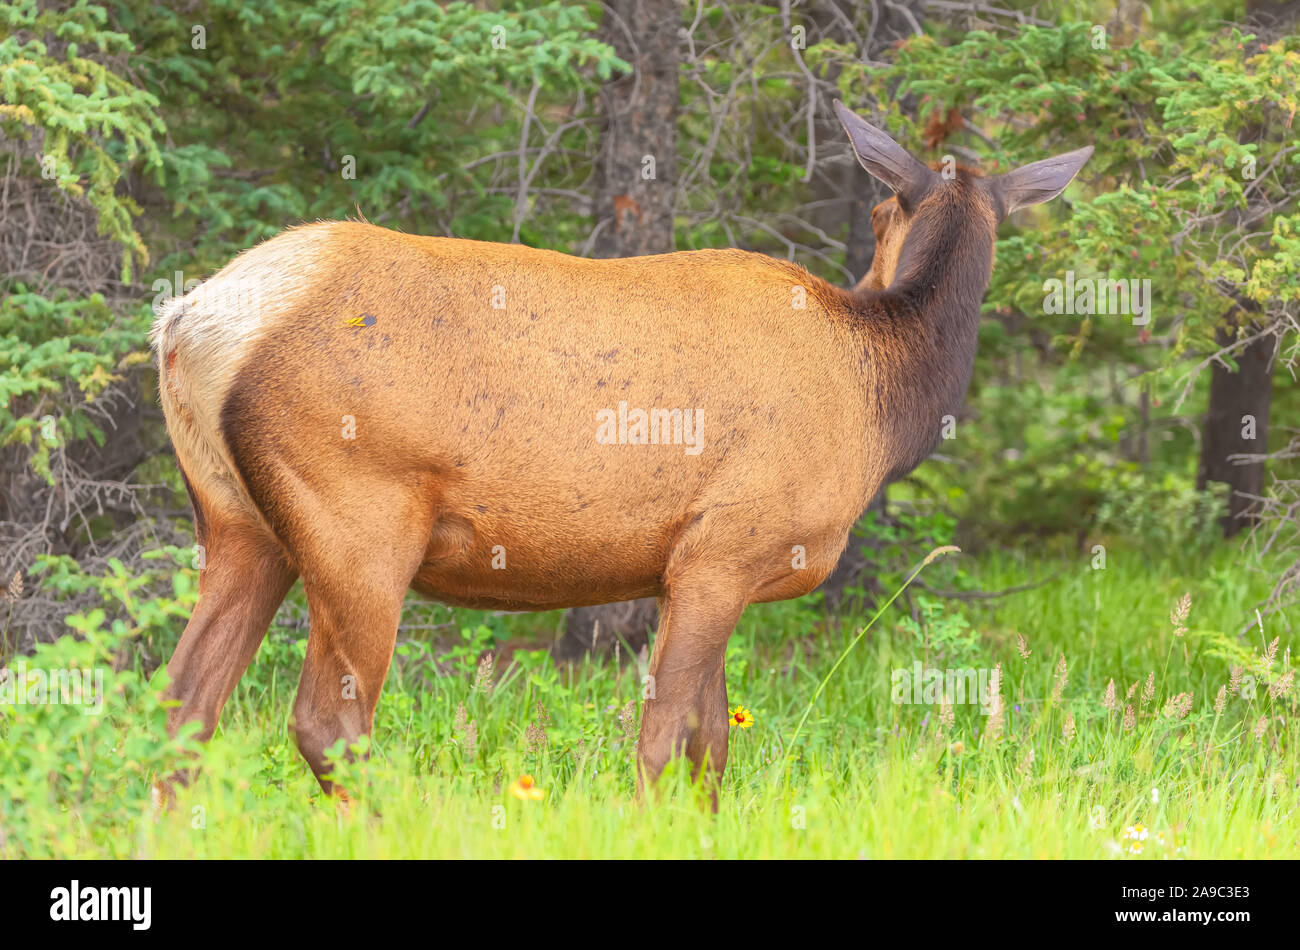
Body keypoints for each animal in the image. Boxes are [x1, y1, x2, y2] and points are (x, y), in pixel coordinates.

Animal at [151, 100, 1090, 801]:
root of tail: (188, 322)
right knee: (327, 723)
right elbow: (665, 738)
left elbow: (712, 747)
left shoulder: (699, 568)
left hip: (238, 522)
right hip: (359, 519)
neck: (878, 403)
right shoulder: (724, 549)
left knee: (182, 704)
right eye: (878, 208)